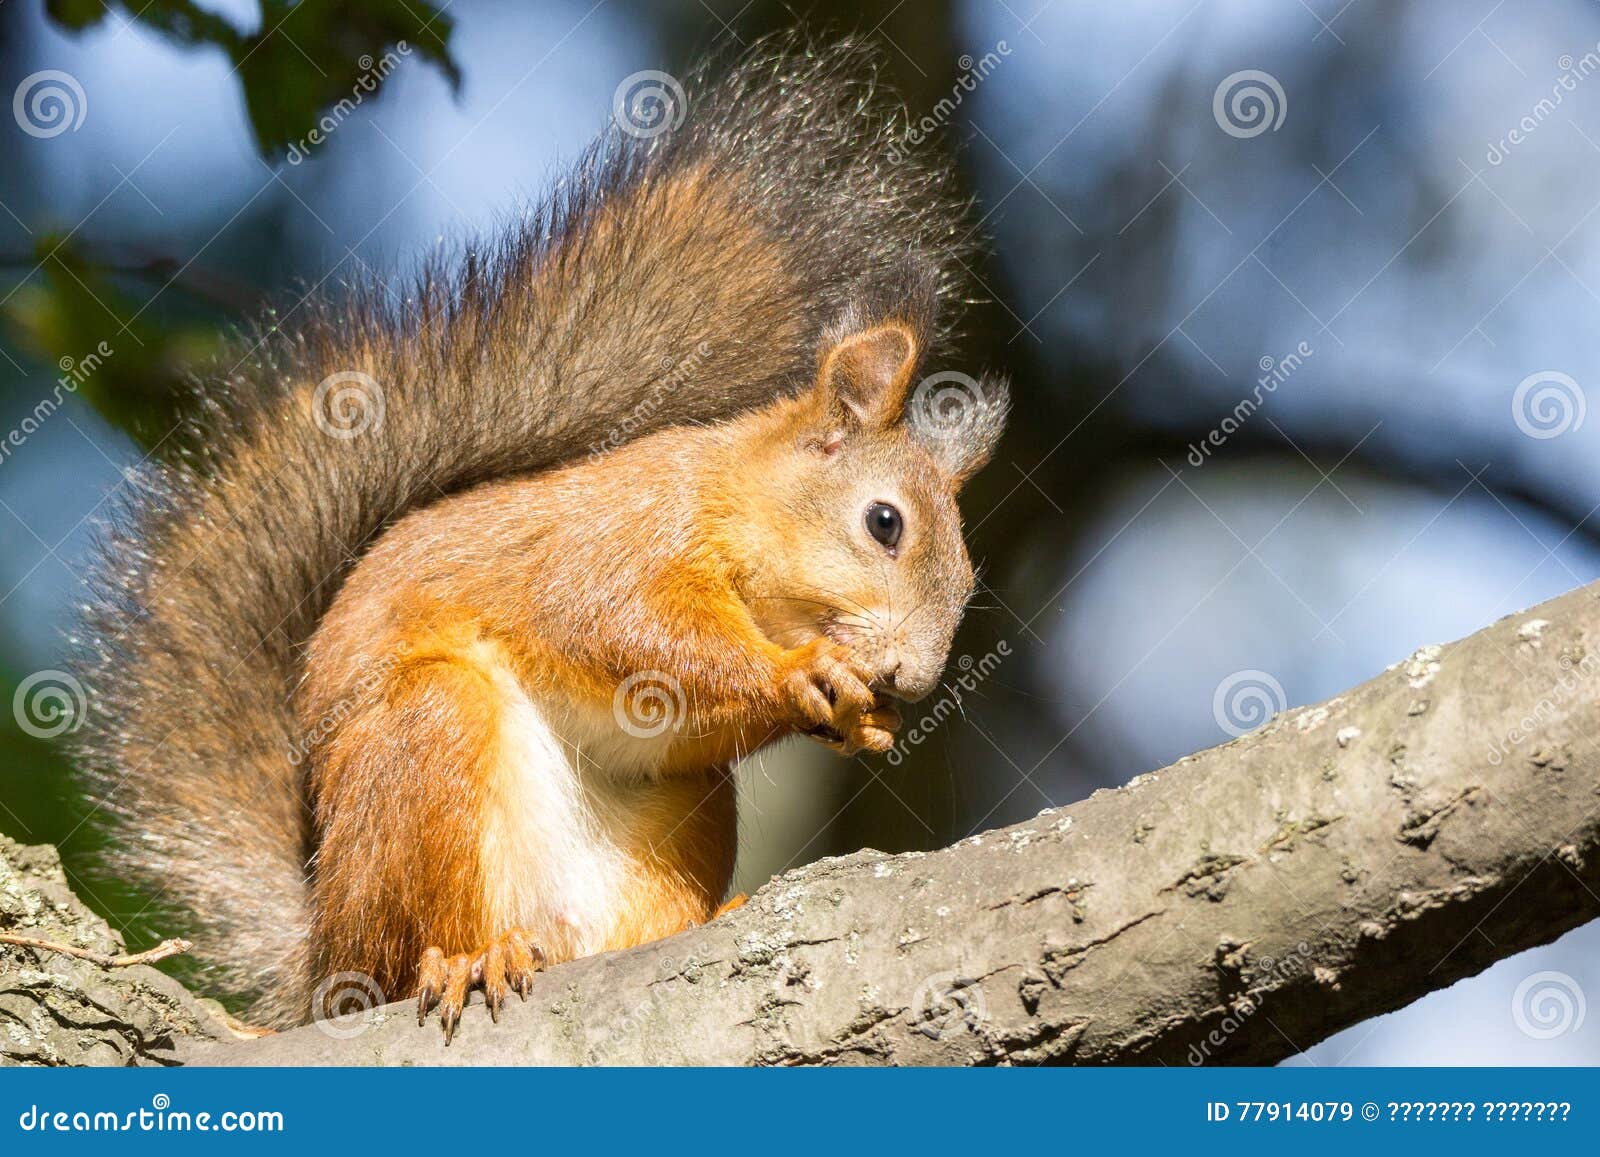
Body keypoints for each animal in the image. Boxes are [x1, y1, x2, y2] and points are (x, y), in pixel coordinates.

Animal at [72, 36, 1008, 1039]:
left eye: (967, 575)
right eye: (884, 522)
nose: (913, 678)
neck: (732, 504)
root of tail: (318, 950)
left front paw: (863, 719)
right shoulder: (616, 542)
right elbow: (623, 627)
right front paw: (802, 674)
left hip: (684, 809)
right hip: (423, 752)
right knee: (402, 952)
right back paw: (465, 959)